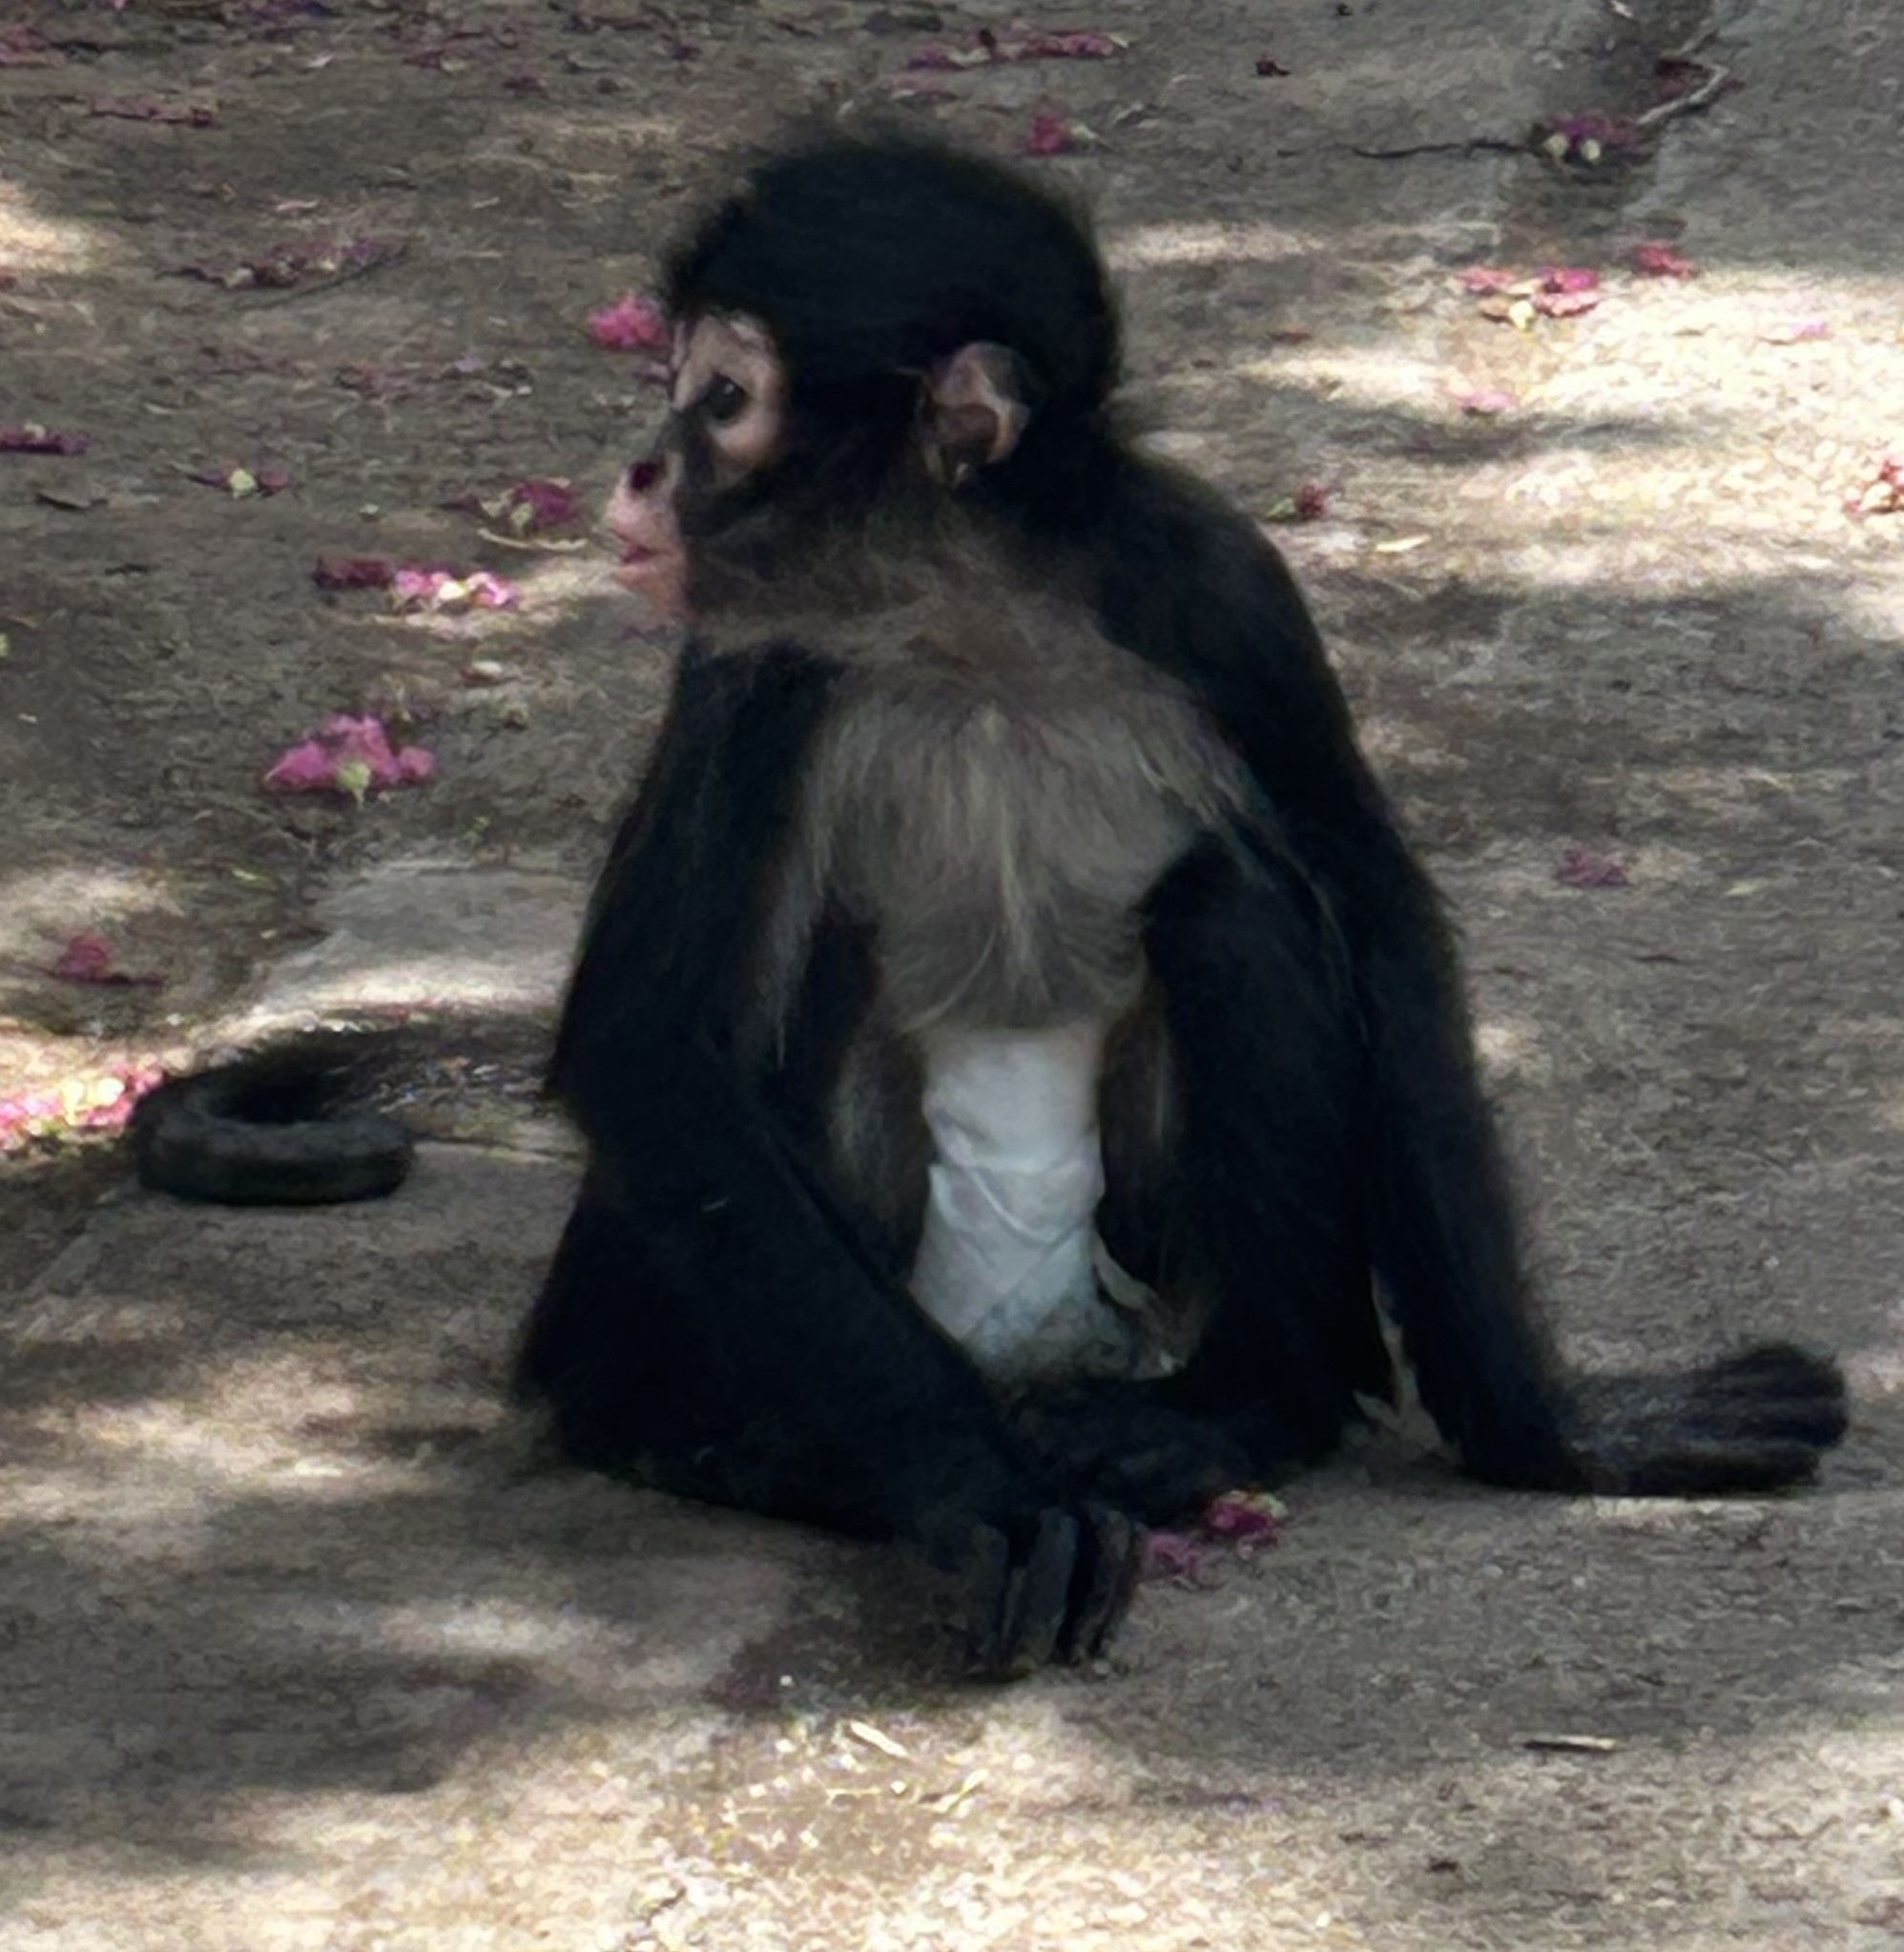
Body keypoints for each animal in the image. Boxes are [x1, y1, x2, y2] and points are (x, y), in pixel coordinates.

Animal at [139, 133, 1847, 1677]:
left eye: (721, 401)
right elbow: (645, 1044)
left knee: (1237, 903)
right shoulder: (750, 659)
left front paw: (1560, 1430)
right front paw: (989, 1499)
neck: (965, 619)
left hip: (1150, 1257)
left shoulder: (1213, 588)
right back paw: (739, 1444)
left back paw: (1232, 1415)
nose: (641, 469)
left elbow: (1384, 934)